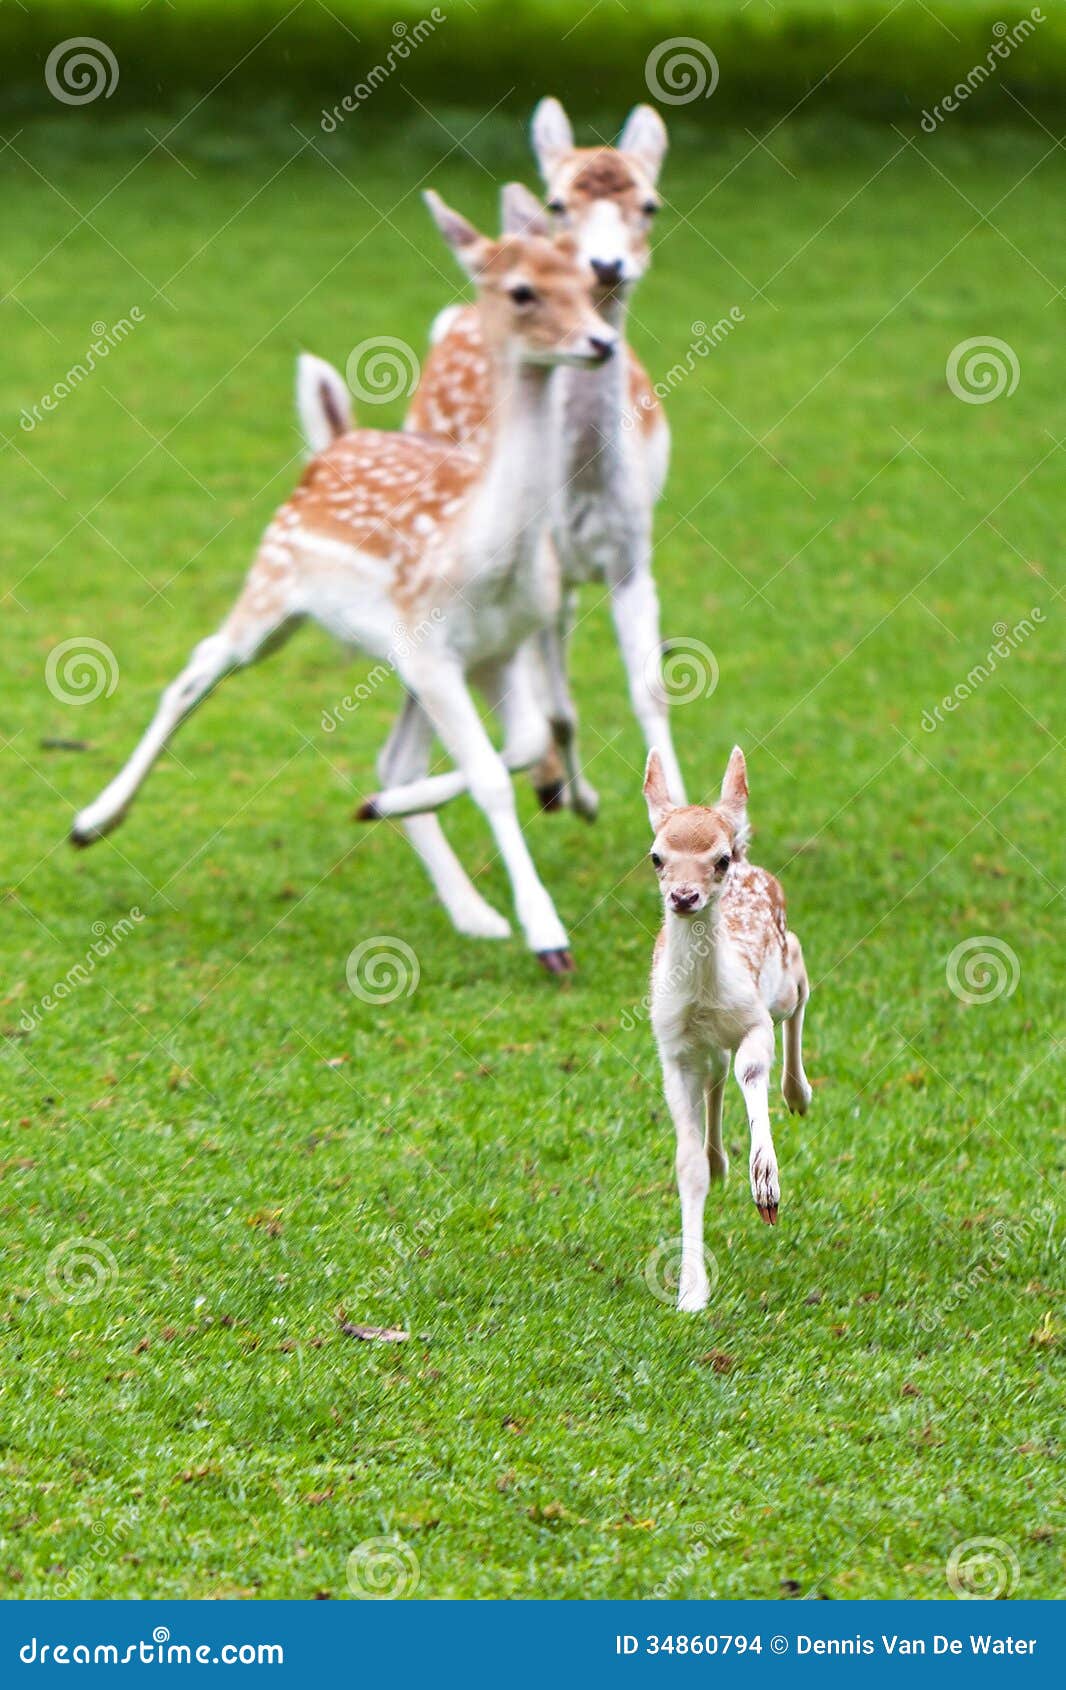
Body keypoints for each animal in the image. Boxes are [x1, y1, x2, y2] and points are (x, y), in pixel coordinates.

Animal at [70, 190, 619, 974]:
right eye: (523, 291)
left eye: (586, 280)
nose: (600, 342)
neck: (488, 556)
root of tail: (330, 443)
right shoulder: (432, 649)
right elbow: (491, 775)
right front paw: (550, 939)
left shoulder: (497, 650)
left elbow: (521, 746)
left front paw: (393, 816)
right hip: (273, 590)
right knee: (197, 667)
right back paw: (90, 822)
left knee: (396, 761)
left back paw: (468, 907)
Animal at [298, 96, 686, 823]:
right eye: (559, 202)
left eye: (650, 204)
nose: (605, 266)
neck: (584, 486)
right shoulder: (533, 565)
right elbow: (556, 707)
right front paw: (570, 794)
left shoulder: (633, 551)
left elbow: (650, 688)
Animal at [642, 747, 813, 1312]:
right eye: (656, 856)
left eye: (714, 859)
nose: (684, 895)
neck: (703, 998)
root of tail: (748, 857)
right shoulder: (672, 1048)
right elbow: (687, 1166)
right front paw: (691, 1292)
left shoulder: (753, 1019)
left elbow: (751, 1069)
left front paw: (767, 1186)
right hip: (707, 1044)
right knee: (716, 1071)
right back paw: (719, 1160)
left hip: (780, 978)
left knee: (800, 980)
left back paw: (798, 1093)